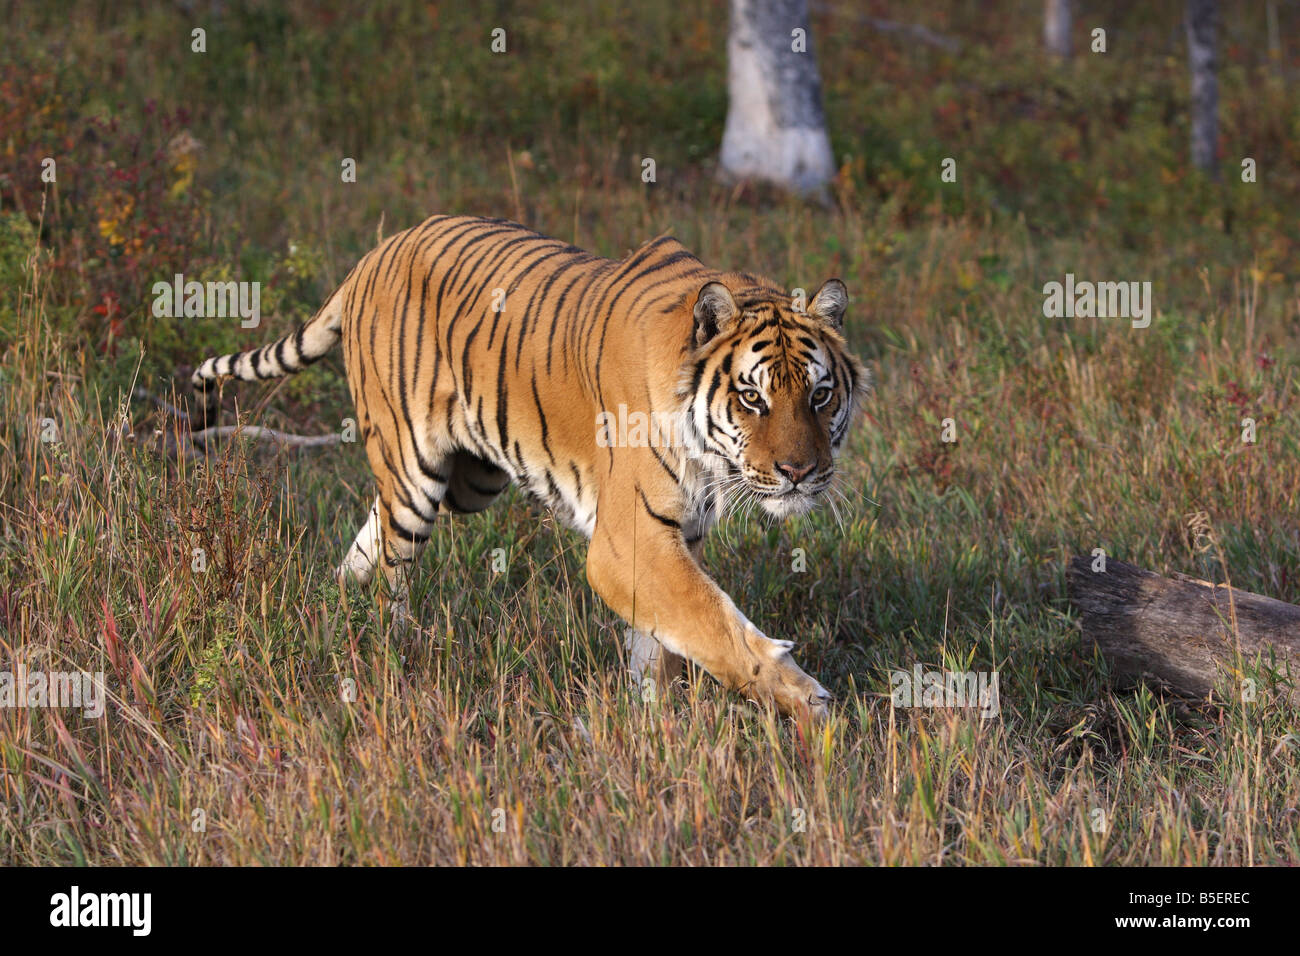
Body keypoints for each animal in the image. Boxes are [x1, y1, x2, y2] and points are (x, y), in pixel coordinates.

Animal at [192, 215, 869, 718]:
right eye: (753, 397)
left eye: (819, 395)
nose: (799, 472)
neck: (710, 461)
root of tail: (377, 251)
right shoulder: (630, 541)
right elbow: (714, 623)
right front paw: (808, 701)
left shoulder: (676, 537)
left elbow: (664, 639)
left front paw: (654, 723)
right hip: (416, 470)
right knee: (394, 567)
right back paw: (394, 649)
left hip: (470, 479)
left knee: (372, 532)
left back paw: (337, 601)